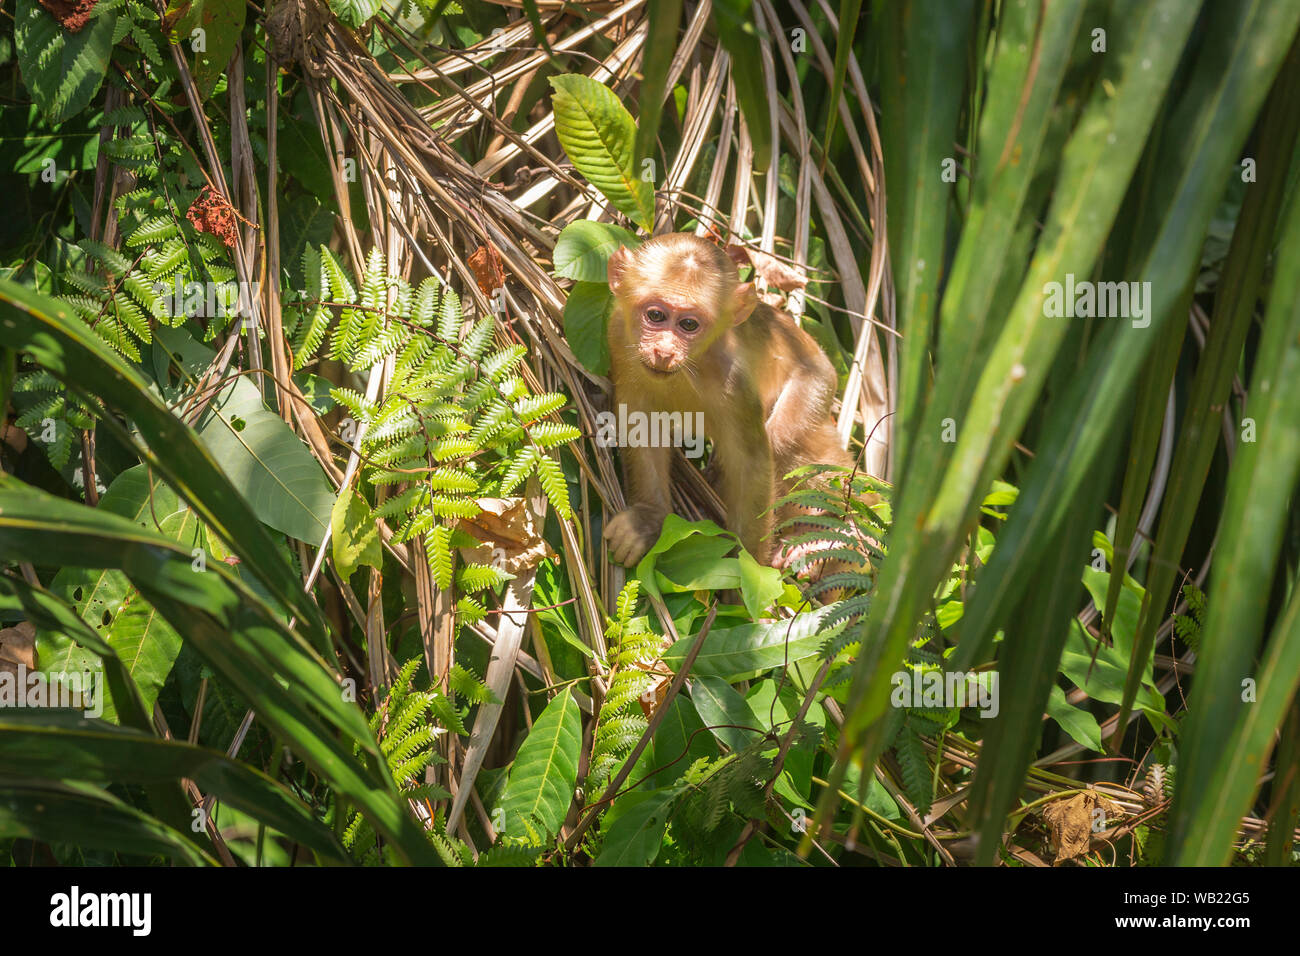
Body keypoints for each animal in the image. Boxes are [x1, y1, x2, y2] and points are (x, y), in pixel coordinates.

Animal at [602, 232, 854, 570]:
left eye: (689, 325)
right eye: (655, 315)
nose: (664, 352)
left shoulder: (733, 379)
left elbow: (752, 465)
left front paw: (746, 567)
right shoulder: (618, 335)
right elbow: (642, 427)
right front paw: (648, 520)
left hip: (816, 386)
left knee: (786, 446)